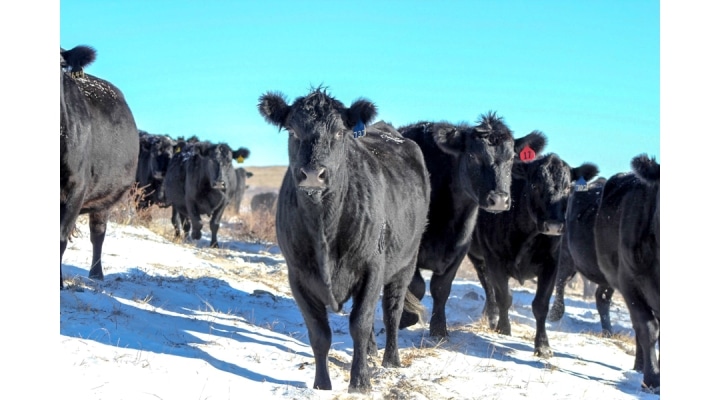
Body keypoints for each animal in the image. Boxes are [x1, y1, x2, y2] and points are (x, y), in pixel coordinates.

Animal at [60, 45, 139, 289]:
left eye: (60, 65)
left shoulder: (76, 187)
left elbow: (60, 238)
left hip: (104, 198)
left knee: (98, 233)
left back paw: (96, 275)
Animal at [257, 88, 431, 393]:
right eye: (292, 130)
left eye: (340, 132)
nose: (312, 174)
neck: (323, 226)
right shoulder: (297, 275)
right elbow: (319, 333)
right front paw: (321, 385)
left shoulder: (372, 267)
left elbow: (359, 323)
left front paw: (360, 382)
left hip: (406, 263)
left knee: (392, 311)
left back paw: (391, 359)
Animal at [397, 114, 542, 338]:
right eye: (473, 156)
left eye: (511, 159)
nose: (499, 200)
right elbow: (417, 286)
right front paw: (407, 318)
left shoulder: (460, 248)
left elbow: (441, 289)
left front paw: (439, 330)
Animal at [467, 145, 599, 358]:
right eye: (535, 186)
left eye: (567, 188)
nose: (554, 225)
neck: (527, 235)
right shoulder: (494, 259)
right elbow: (504, 297)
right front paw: (504, 327)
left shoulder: (551, 265)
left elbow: (541, 305)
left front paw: (543, 345)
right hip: (477, 256)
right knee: (488, 286)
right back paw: (492, 317)